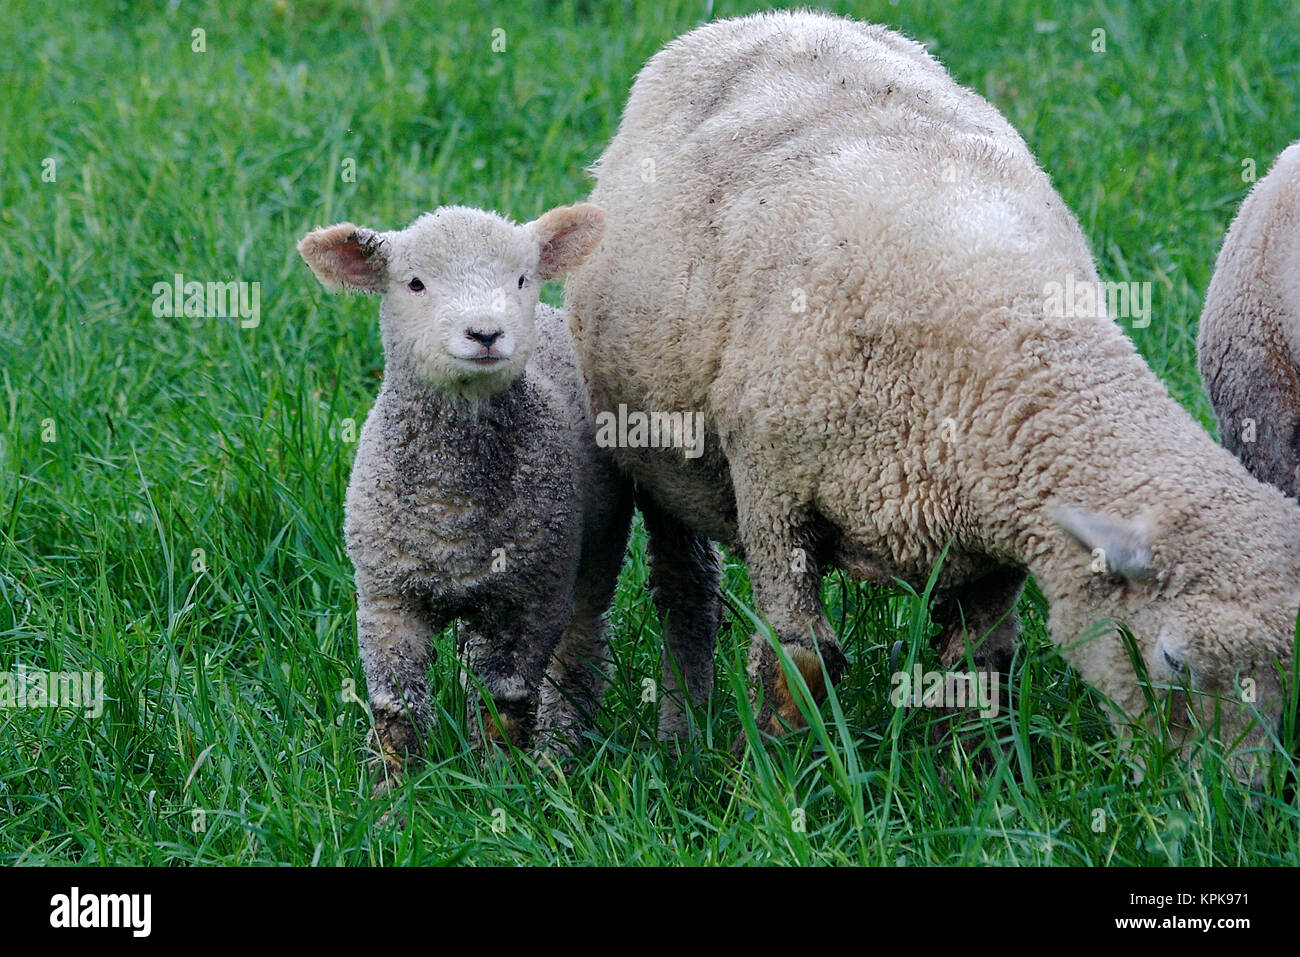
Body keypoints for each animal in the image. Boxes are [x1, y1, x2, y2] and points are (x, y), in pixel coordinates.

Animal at [297, 202, 631, 789]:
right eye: (414, 283)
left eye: (520, 278)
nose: (485, 333)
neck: (449, 503)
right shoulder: (385, 594)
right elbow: (396, 707)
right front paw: (391, 791)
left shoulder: (533, 592)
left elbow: (507, 701)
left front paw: (500, 781)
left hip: (597, 545)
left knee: (579, 650)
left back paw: (560, 752)